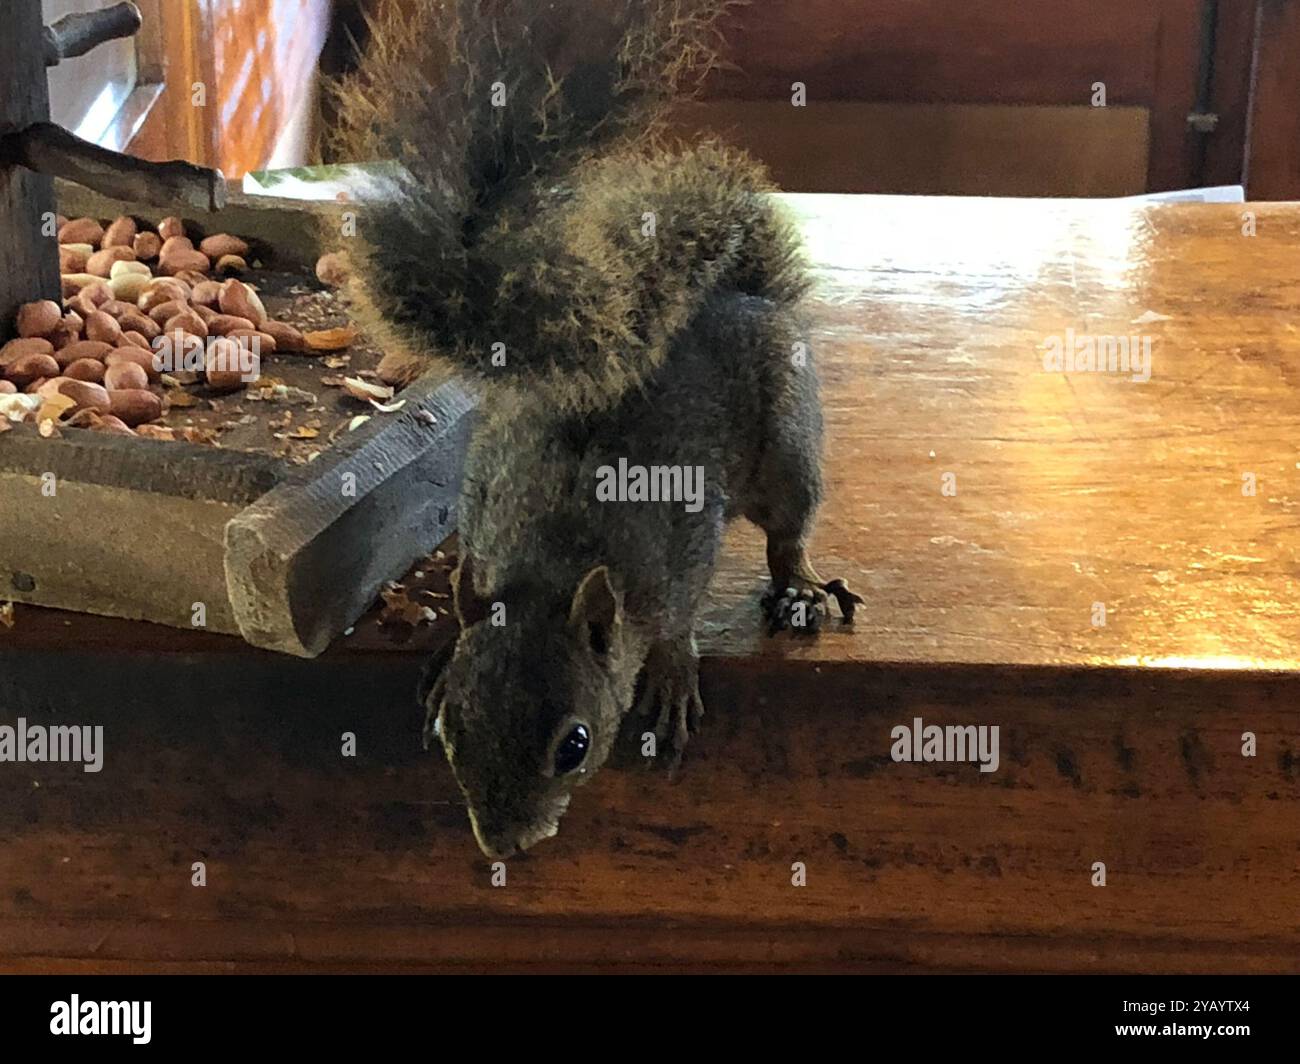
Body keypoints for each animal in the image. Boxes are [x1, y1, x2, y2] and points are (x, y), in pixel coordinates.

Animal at [331, 0, 863, 859]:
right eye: (453, 730)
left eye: (575, 745)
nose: (500, 846)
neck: (548, 566)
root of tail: (736, 297)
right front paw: (445, 654)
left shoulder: (678, 548)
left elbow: (676, 622)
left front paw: (673, 674)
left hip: (788, 447)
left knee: (789, 529)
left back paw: (799, 584)